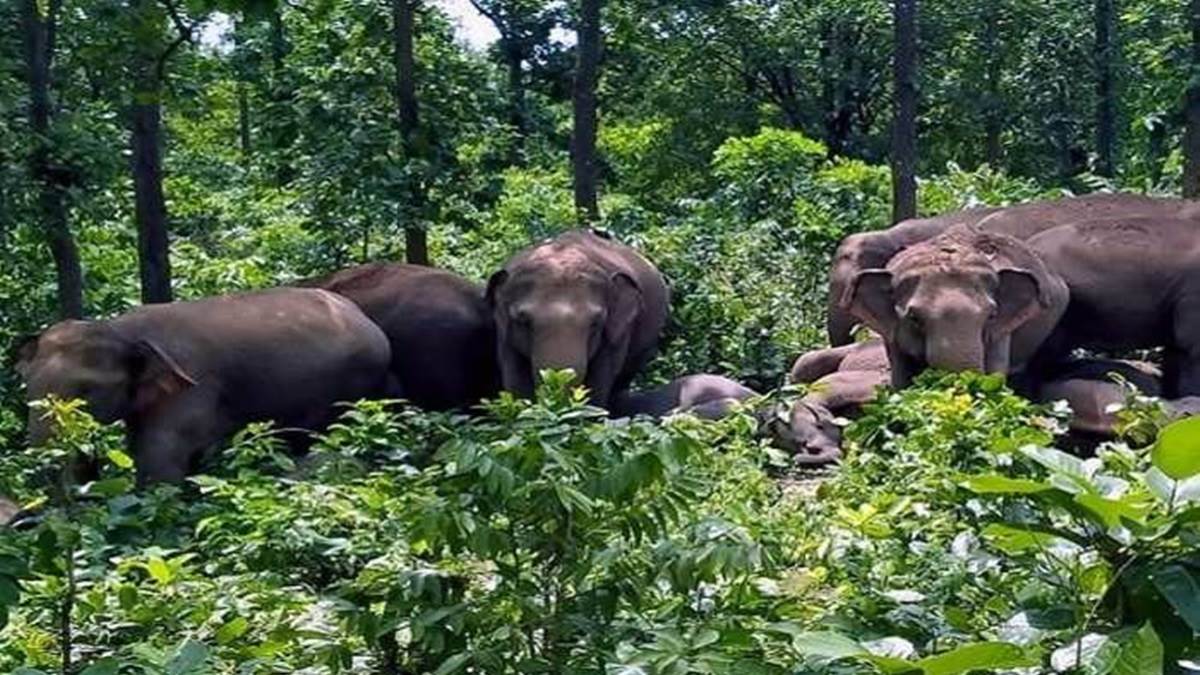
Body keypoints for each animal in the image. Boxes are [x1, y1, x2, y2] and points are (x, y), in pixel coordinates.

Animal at [487, 230, 670, 407]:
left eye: (596, 323)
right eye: (523, 321)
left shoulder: (617, 333)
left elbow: (599, 380)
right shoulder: (504, 334)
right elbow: (515, 379)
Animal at [845, 225, 1070, 390]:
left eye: (991, 316)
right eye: (914, 319)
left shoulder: (1001, 331)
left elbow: (996, 370)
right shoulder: (892, 336)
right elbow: (901, 378)